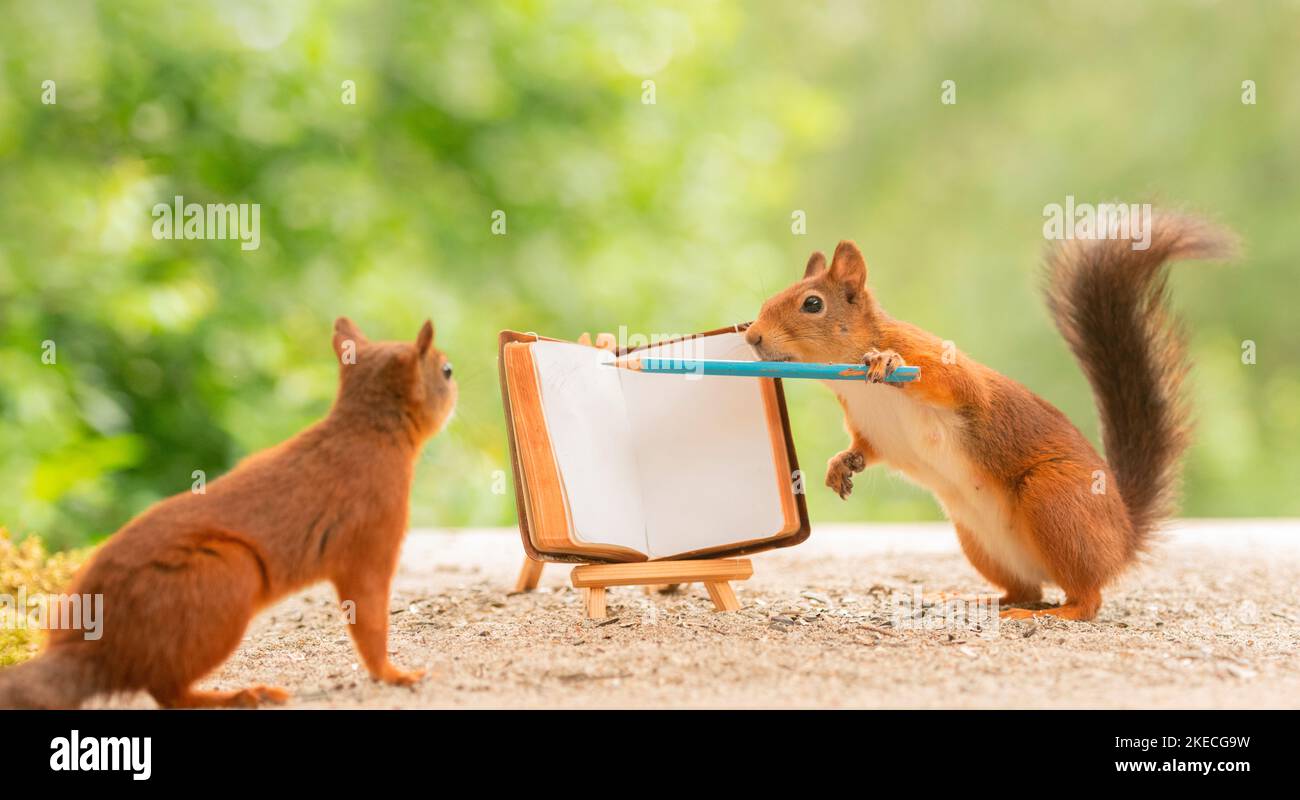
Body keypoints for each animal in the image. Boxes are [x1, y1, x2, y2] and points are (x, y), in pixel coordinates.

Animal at [0, 317, 456, 708]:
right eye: (446, 370)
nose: (460, 385)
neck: (369, 432)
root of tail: (98, 649)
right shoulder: (371, 539)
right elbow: (370, 618)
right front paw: (395, 674)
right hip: (228, 577)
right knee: (169, 692)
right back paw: (239, 694)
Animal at [744, 213, 1233, 621]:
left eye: (812, 304)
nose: (752, 337)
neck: (850, 382)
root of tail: (1123, 539)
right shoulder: (869, 430)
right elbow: (865, 450)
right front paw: (839, 466)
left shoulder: (936, 359)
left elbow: (953, 383)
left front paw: (884, 359)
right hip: (978, 540)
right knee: (1025, 589)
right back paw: (978, 599)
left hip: (1055, 498)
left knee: (1086, 597)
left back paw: (1058, 613)